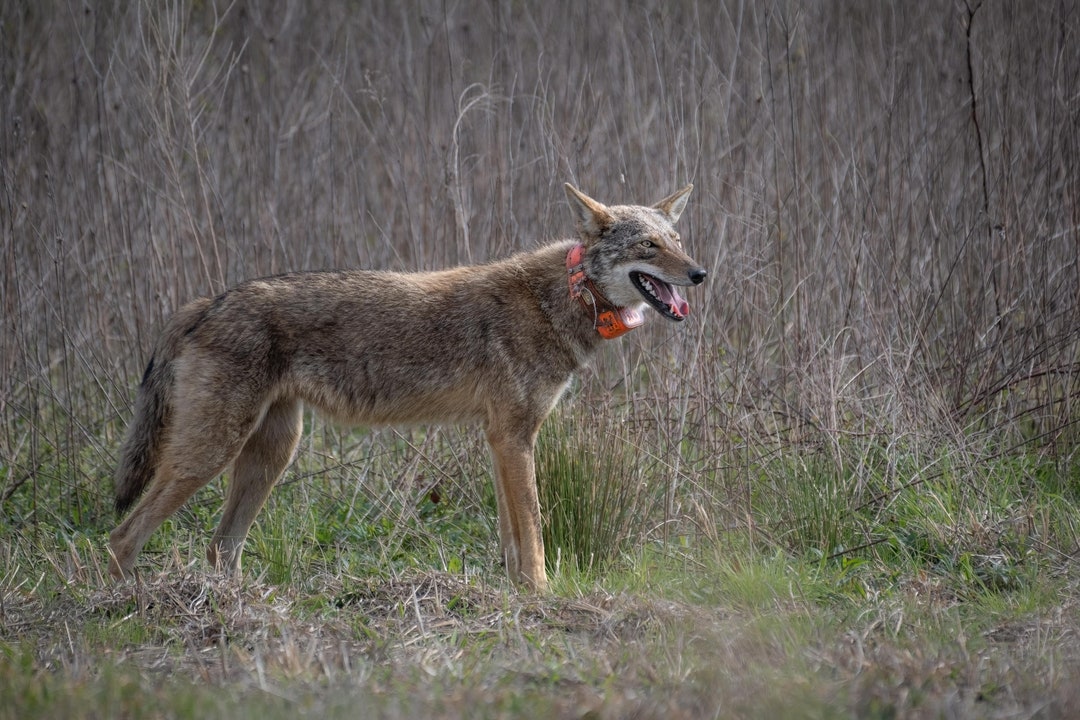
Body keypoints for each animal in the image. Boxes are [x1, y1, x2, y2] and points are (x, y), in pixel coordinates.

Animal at [108, 183, 707, 592]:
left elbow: (513, 537)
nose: (700, 274)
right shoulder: (514, 438)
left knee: (219, 550)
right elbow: (534, 531)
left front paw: (517, 596)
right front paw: (542, 596)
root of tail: (206, 302)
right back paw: (128, 606)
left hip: (270, 455)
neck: (563, 295)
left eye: (677, 240)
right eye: (648, 246)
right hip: (212, 453)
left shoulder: (501, 440)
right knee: (124, 535)